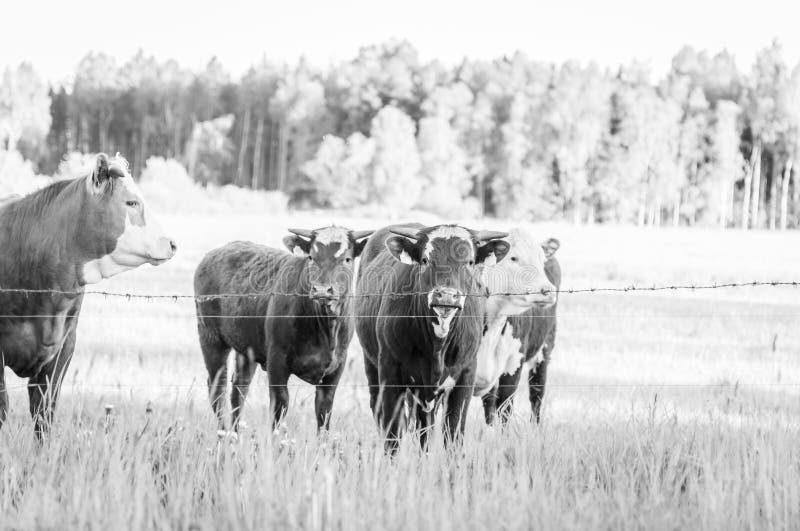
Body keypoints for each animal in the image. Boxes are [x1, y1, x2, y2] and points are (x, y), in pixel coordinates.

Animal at [194, 226, 373, 432]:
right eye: (311, 257)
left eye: (347, 259)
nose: (321, 290)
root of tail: (215, 253)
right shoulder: (277, 362)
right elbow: (279, 408)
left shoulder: (335, 371)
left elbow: (324, 416)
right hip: (211, 338)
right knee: (217, 388)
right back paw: (223, 433)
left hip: (246, 349)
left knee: (239, 389)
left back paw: (234, 435)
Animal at [355, 224, 510, 451]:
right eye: (425, 260)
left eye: (470, 262)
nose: (446, 296)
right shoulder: (390, 373)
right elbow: (392, 435)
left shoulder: (465, 376)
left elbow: (453, 434)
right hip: (373, 366)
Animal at [479, 235, 561, 425]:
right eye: (513, 258)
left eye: (541, 260)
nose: (547, 291)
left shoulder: (515, 362)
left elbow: (504, 408)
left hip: (545, 349)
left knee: (536, 396)